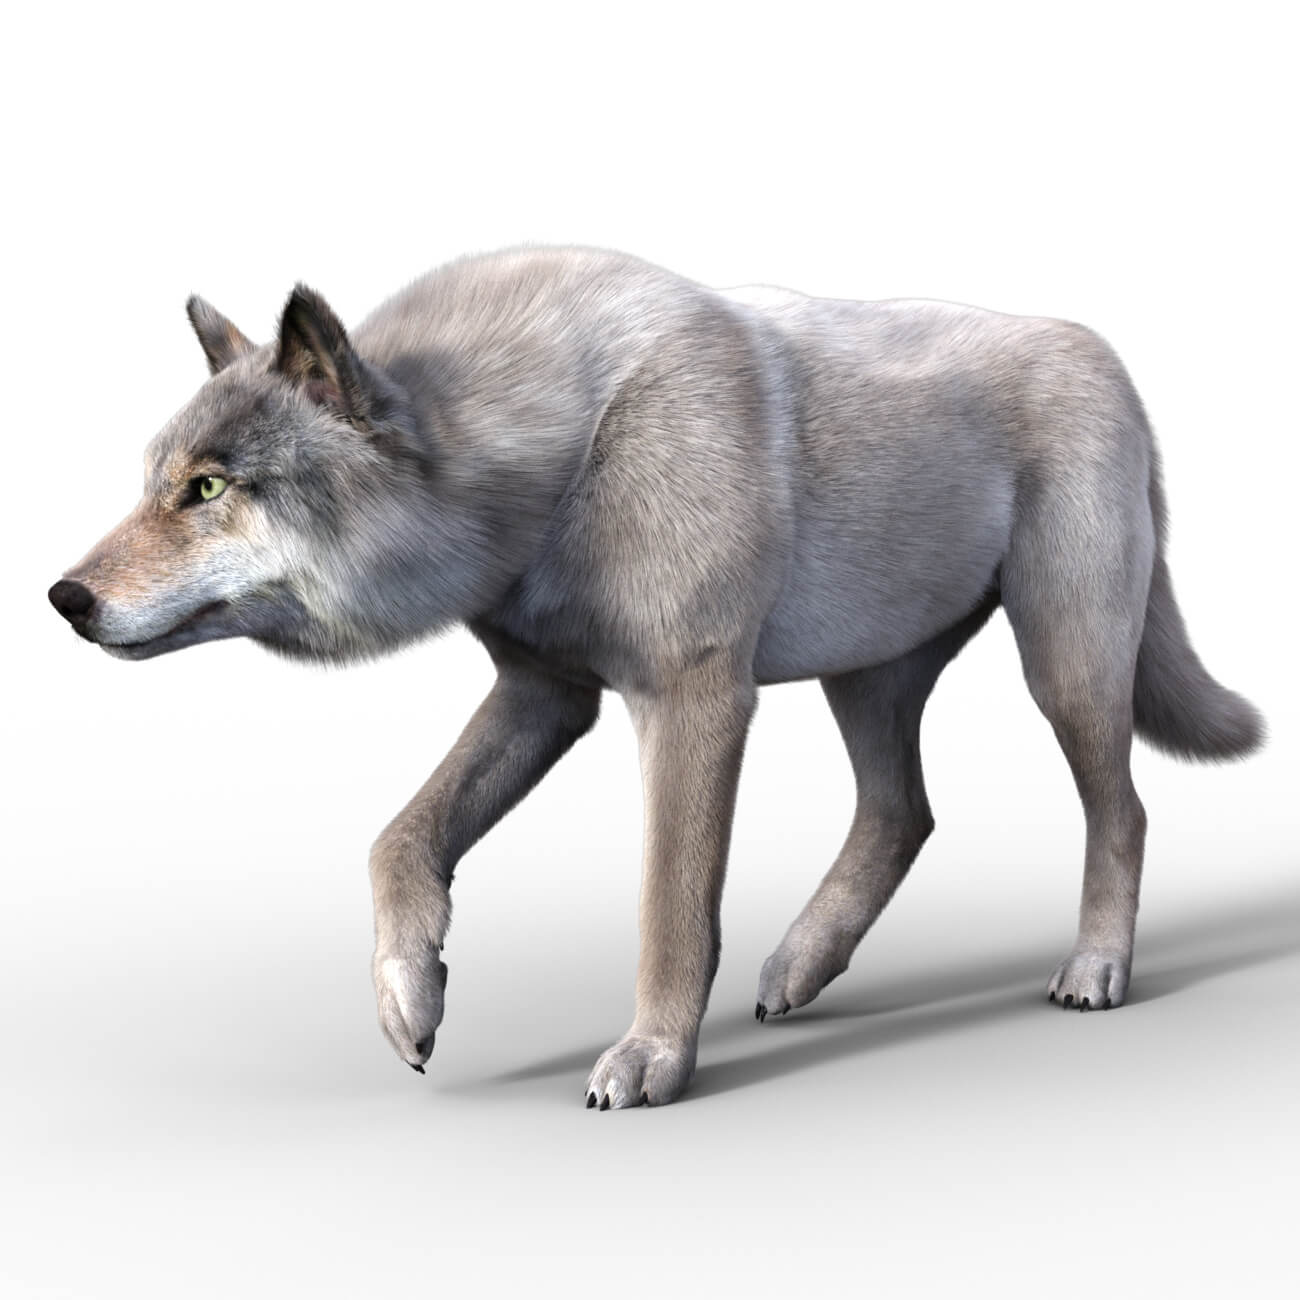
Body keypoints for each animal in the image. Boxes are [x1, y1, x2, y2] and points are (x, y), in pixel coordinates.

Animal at [50, 246, 1263, 1108]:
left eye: (209, 487)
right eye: (155, 482)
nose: (63, 599)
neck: (562, 449)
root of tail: (1106, 353)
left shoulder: (691, 699)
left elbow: (669, 904)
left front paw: (651, 1059)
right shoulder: (547, 694)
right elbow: (398, 838)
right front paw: (409, 993)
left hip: (1062, 663)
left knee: (1122, 808)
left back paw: (1093, 969)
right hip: (865, 677)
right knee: (903, 811)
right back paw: (801, 968)